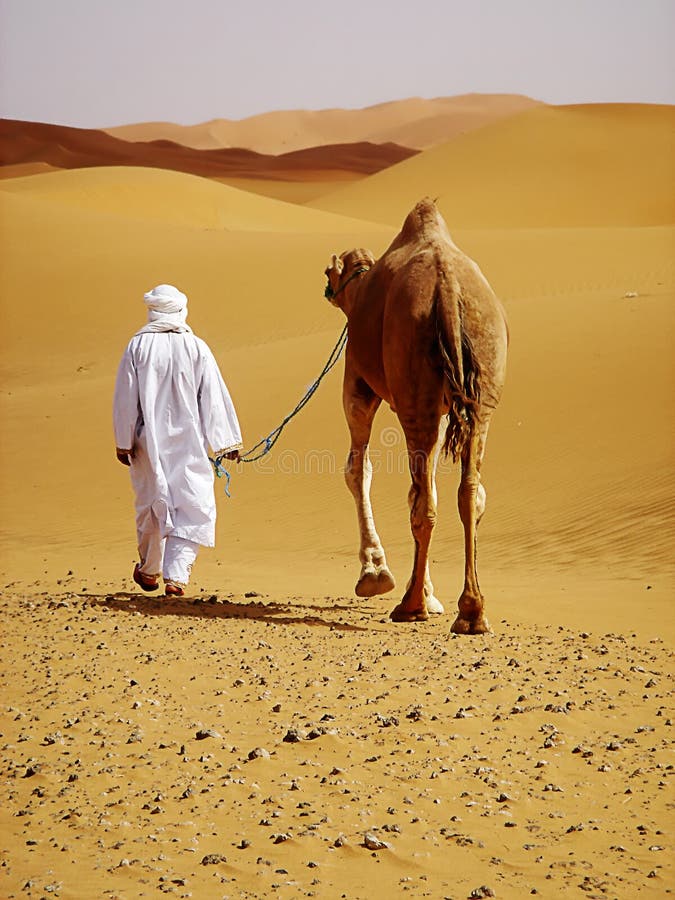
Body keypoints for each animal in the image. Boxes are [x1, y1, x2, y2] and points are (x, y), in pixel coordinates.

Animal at [324, 198, 508, 633]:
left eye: (328, 272)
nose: (326, 289)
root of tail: (448, 290)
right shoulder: (444, 407)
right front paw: (427, 590)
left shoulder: (356, 379)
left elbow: (358, 470)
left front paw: (376, 575)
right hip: (482, 386)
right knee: (467, 492)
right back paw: (471, 612)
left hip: (413, 383)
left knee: (424, 501)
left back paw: (410, 606)